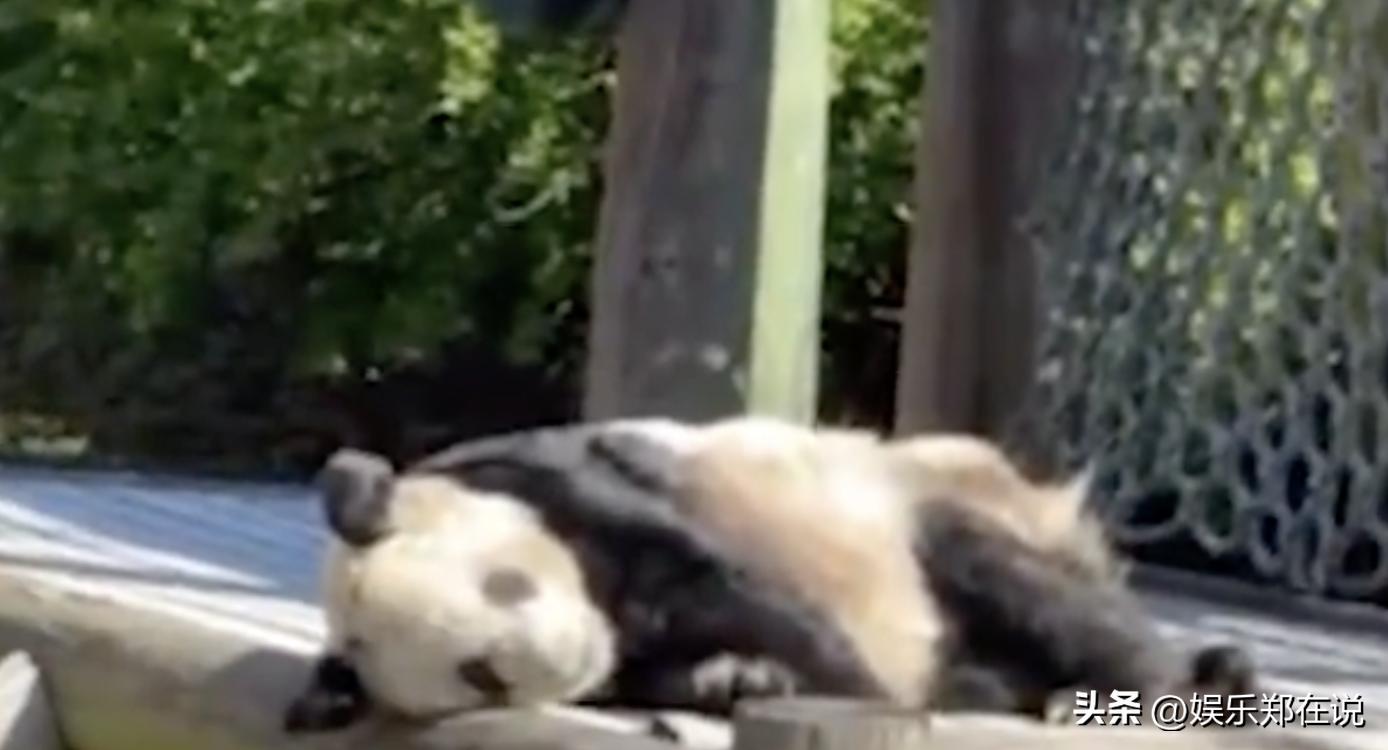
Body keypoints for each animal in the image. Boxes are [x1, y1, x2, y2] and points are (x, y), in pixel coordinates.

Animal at [282, 415, 1256, 733]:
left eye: (506, 586)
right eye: (477, 674)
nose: (563, 655)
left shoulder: (585, 488)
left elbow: (761, 608)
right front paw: (730, 678)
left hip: (935, 504)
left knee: (1012, 577)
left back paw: (1168, 685)